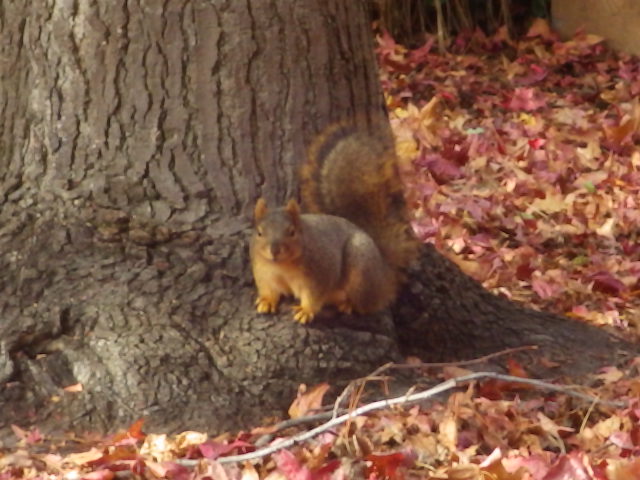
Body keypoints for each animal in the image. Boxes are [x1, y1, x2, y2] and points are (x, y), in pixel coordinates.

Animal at [250, 123, 418, 324]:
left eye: (292, 232)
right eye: (259, 232)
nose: (274, 251)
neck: (281, 266)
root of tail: (384, 274)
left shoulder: (319, 274)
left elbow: (313, 296)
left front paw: (305, 311)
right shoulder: (264, 273)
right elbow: (269, 289)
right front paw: (267, 300)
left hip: (361, 269)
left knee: (365, 303)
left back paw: (349, 305)